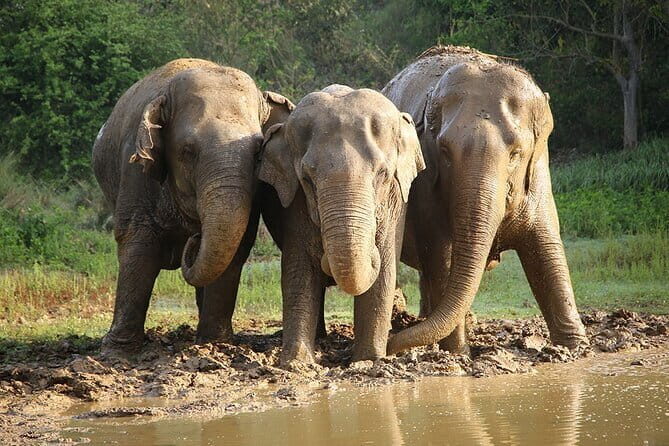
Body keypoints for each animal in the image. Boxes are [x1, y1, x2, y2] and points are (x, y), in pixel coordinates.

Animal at [93, 58, 293, 353]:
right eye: (188, 151)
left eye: (259, 151)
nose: (195, 238)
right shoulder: (136, 170)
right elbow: (137, 242)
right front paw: (117, 351)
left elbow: (237, 244)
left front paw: (215, 343)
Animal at [259, 85, 425, 364]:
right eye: (307, 178)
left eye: (382, 174)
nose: (325, 256)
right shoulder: (295, 205)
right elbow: (298, 272)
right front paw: (297, 363)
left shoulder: (397, 203)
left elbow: (384, 274)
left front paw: (369, 360)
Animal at [382, 46, 589, 355]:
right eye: (444, 151)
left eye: (516, 153)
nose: (390, 346)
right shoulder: (427, 190)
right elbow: (441, 258)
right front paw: (458, 353)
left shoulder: (539, 177)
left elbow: (547, 251)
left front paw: (576, 347)